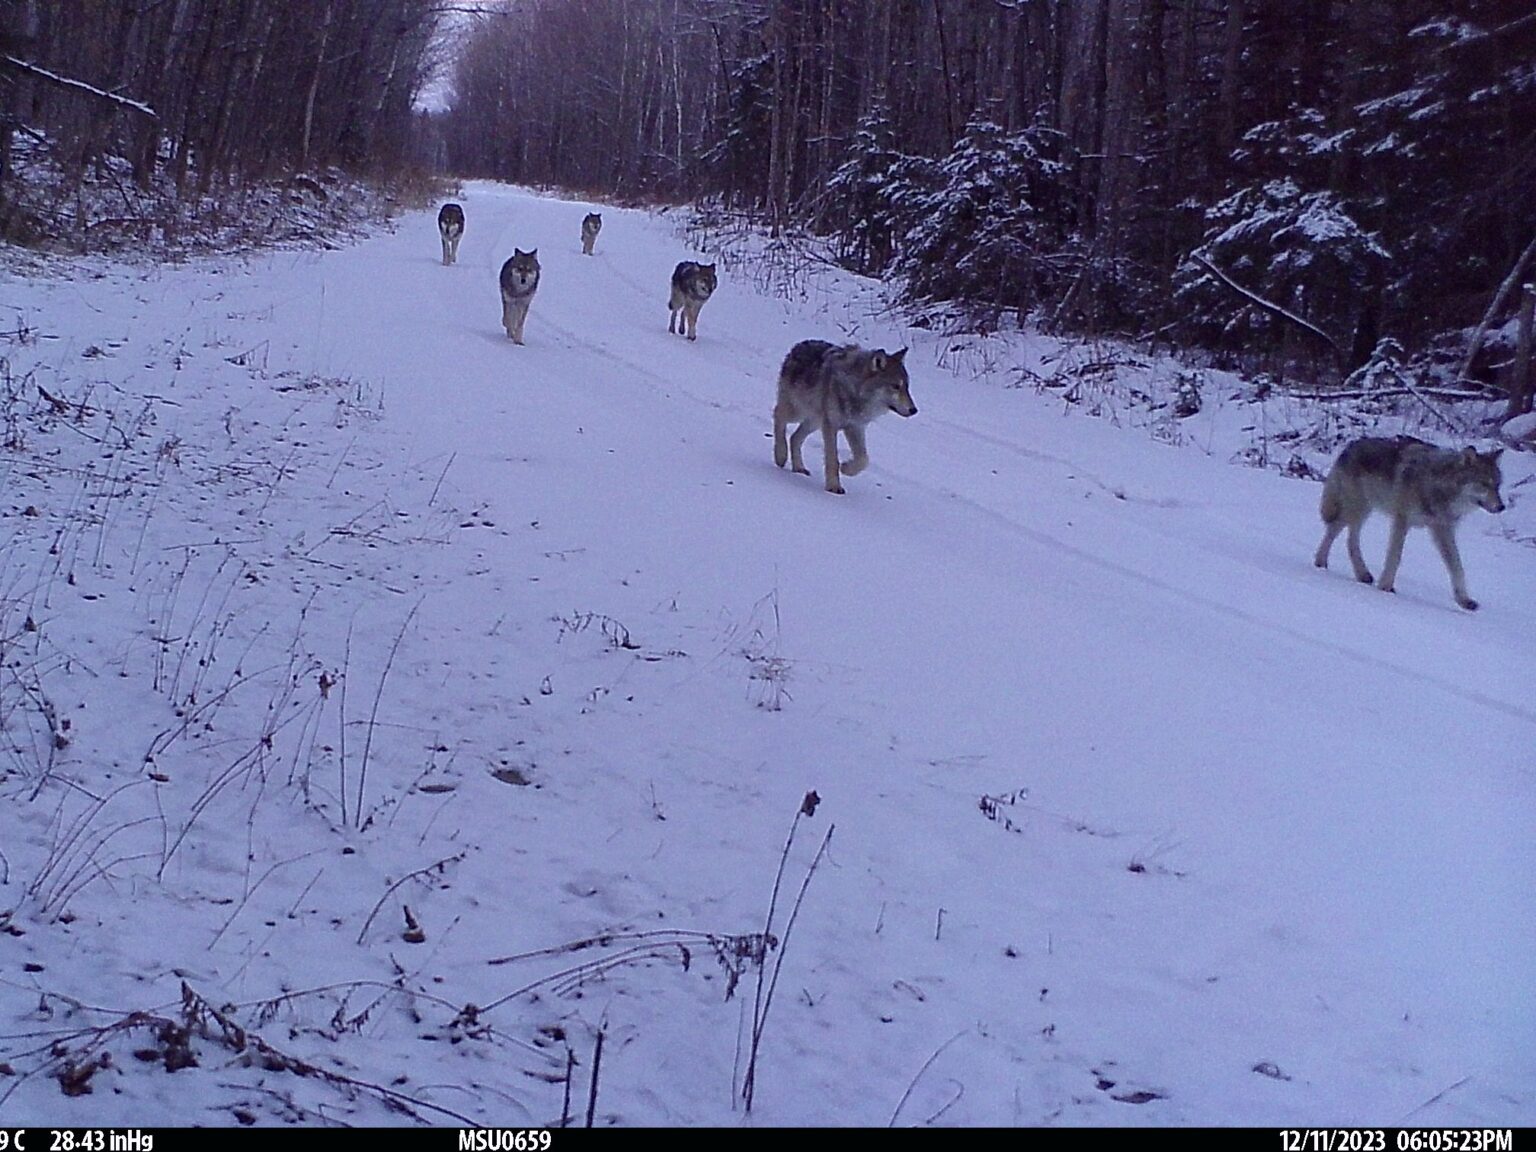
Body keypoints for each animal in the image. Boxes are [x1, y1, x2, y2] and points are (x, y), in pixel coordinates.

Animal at [773, 340, 917, 494]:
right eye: (895, 386)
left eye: (907, 387)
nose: (914, 410)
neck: (855, 391)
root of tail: (798, 345)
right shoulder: (831, 425)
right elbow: (832, 459)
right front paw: (834, 486)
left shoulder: (855, 427)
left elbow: (863, 459)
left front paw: (846, 468)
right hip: (798, 412)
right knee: (778, 414)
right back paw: (780, 455)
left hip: (814, 421)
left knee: (794, 437)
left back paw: (799, 467)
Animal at [1313, 435, 1506, 610]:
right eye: (1484, 484)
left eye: (1497, 485)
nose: (1502, 506)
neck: (1438, 486)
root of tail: (1350, 445)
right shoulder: (1401, 521)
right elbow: (1395, 557)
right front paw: (1385, 586)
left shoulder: (1443, 530)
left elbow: (1457, 566)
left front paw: (1464, 600)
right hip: (1355, 509)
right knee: (1334, 530)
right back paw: (1321, 563)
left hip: (1363, 511)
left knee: (1350, 539)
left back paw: (1363, 575)